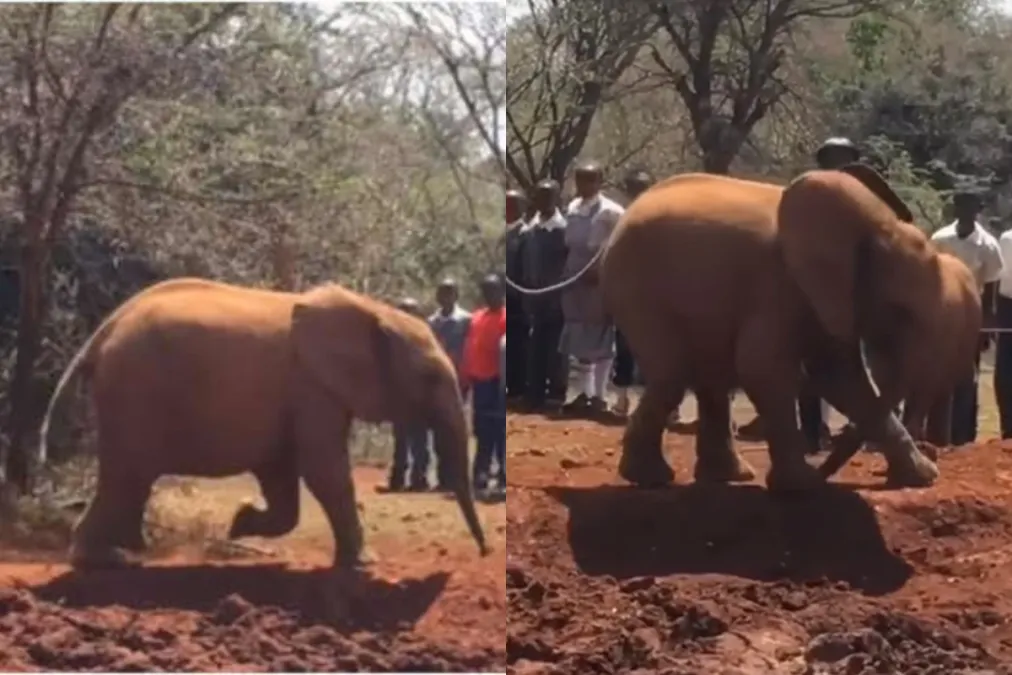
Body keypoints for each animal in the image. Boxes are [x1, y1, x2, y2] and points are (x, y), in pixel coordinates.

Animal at [38, 277, 490, 569]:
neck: (374, 311)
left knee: (132, 479)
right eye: (428, 377)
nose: (485, 553)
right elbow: (324, 470)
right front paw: (364, 564)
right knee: (125, 475)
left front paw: (239, 524)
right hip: (133, 391)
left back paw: (132, 550)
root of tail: (103, 331)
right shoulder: (312, 386)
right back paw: (106, 560)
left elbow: (283, 476)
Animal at [599, 169, 941, 492]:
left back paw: (728, 476)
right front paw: (802, 486)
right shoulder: (779, 286)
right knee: (673, 376)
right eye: (900, 309)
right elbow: (764, 368)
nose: (825, 473)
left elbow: (841, 377)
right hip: (637, 289)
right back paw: (652, 478)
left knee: (709, 380)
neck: (872, 223)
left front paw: (923, 477)